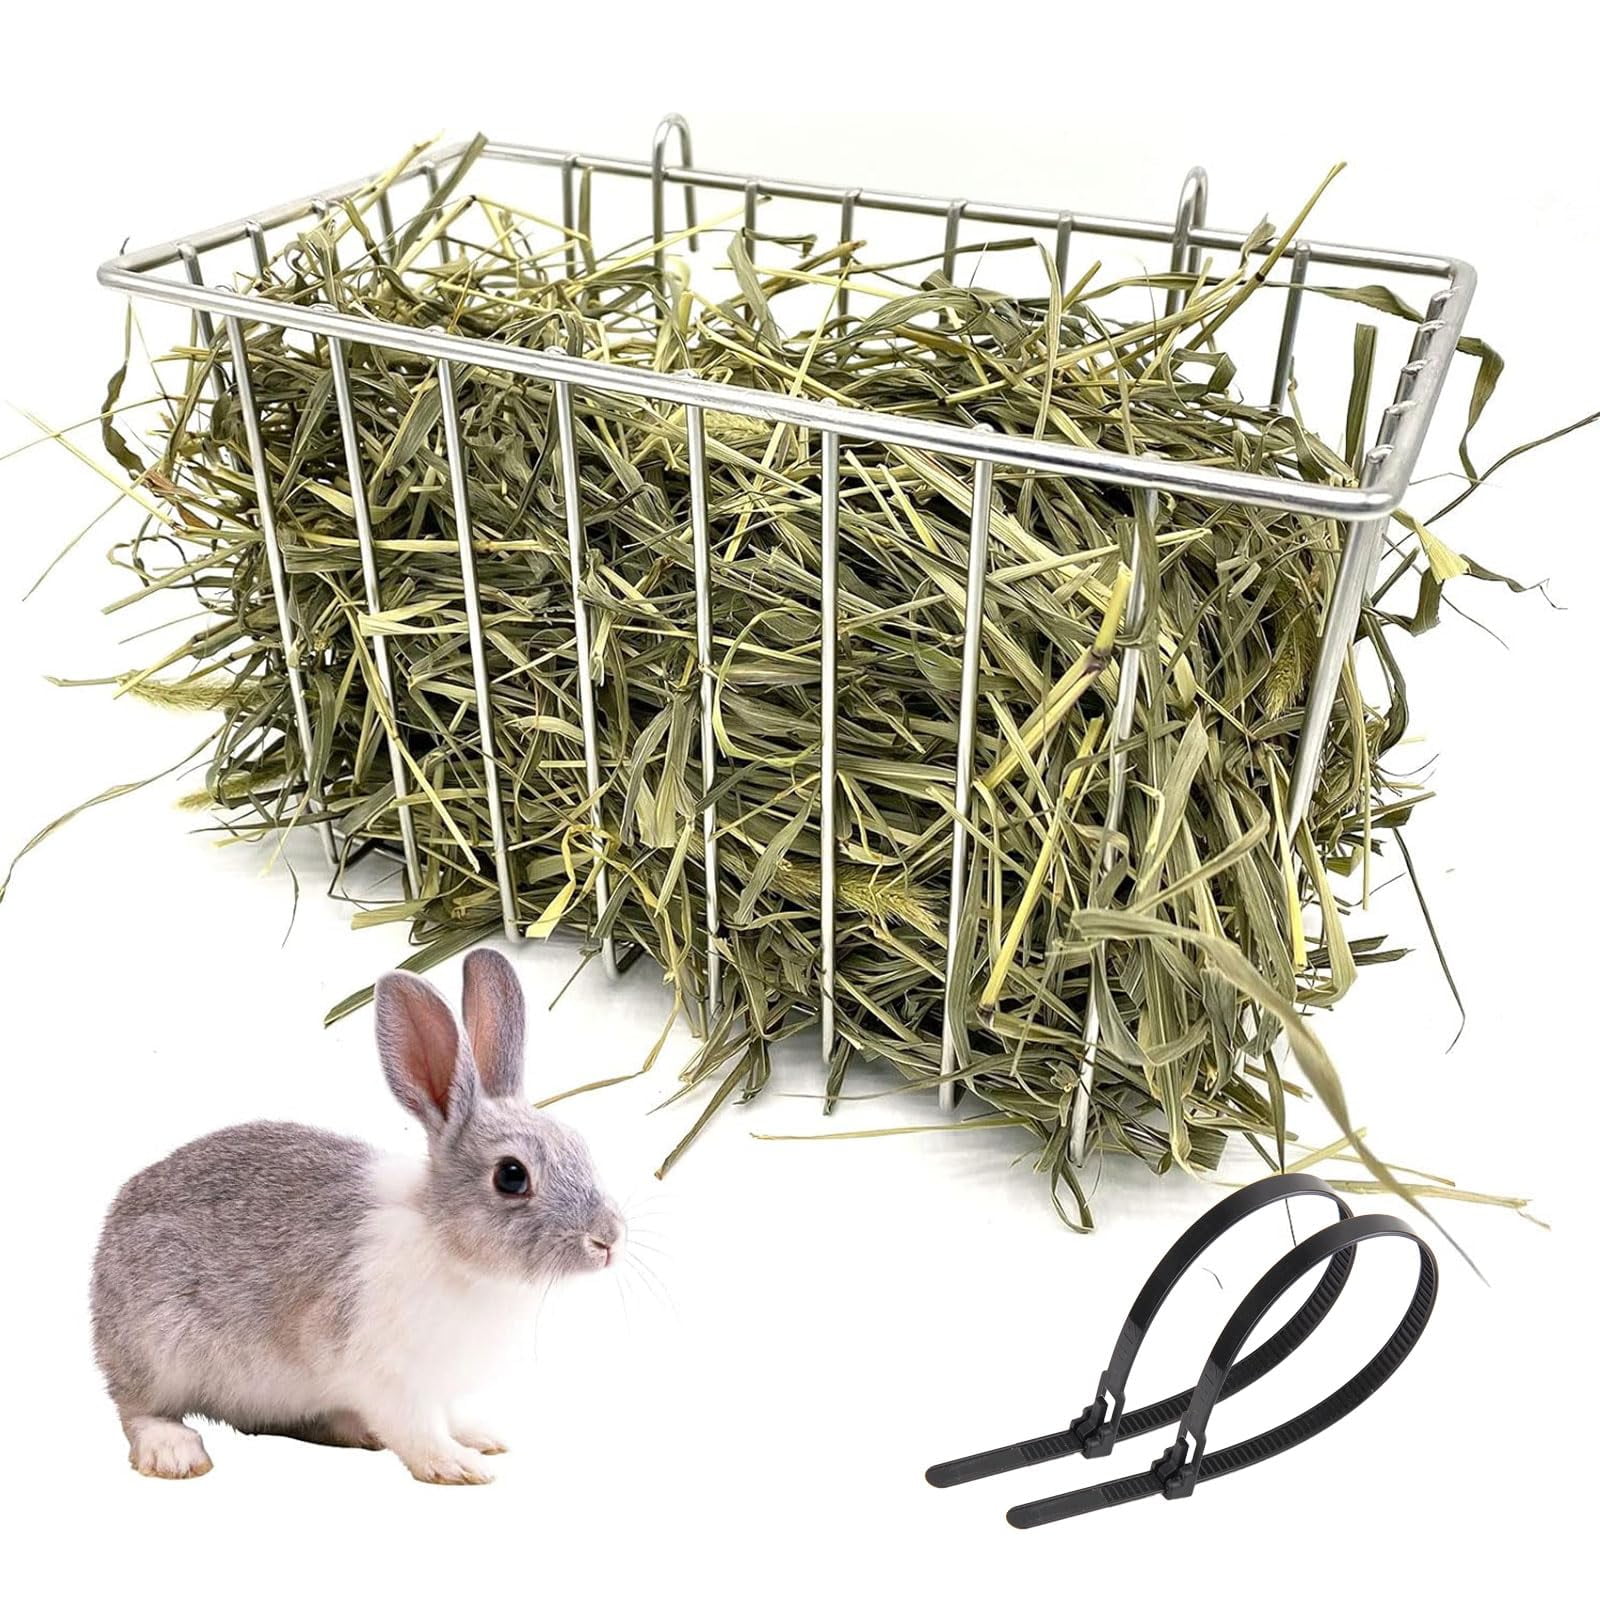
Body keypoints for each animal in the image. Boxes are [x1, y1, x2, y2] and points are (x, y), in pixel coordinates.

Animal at [90, 948, 624, 1484]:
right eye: (511, 1176)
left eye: (579, 1145)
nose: (609, 1239)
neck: (449, 1246)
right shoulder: (387, 1373)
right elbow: (417, 1429)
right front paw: (457, 1466)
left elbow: (447, 1415)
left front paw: (481, 1438)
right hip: (157, 1351)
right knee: (137, 1409)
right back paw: (174, 1452)